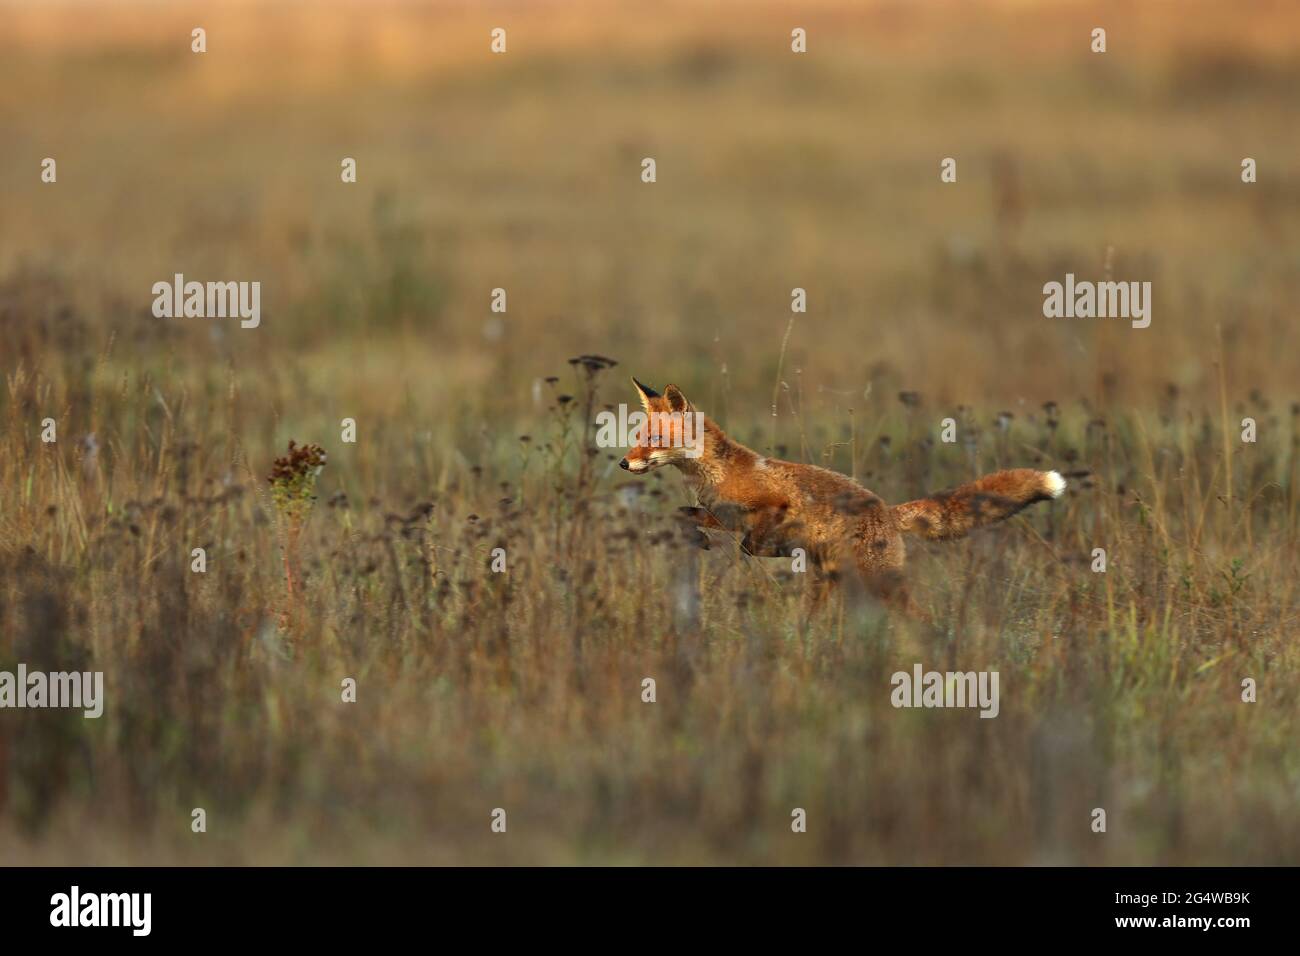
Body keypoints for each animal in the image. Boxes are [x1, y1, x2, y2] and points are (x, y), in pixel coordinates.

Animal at [618, 377, 1066, 609]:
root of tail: (888, 509)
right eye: (638, 439)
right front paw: (697, 540)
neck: (716, 475)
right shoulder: (721, 514)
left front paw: (775, 551)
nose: (624, 463)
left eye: (653, 441)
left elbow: (751, 544)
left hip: (881, 582)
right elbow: (685, 515)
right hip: (838, 584)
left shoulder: (775, 506)